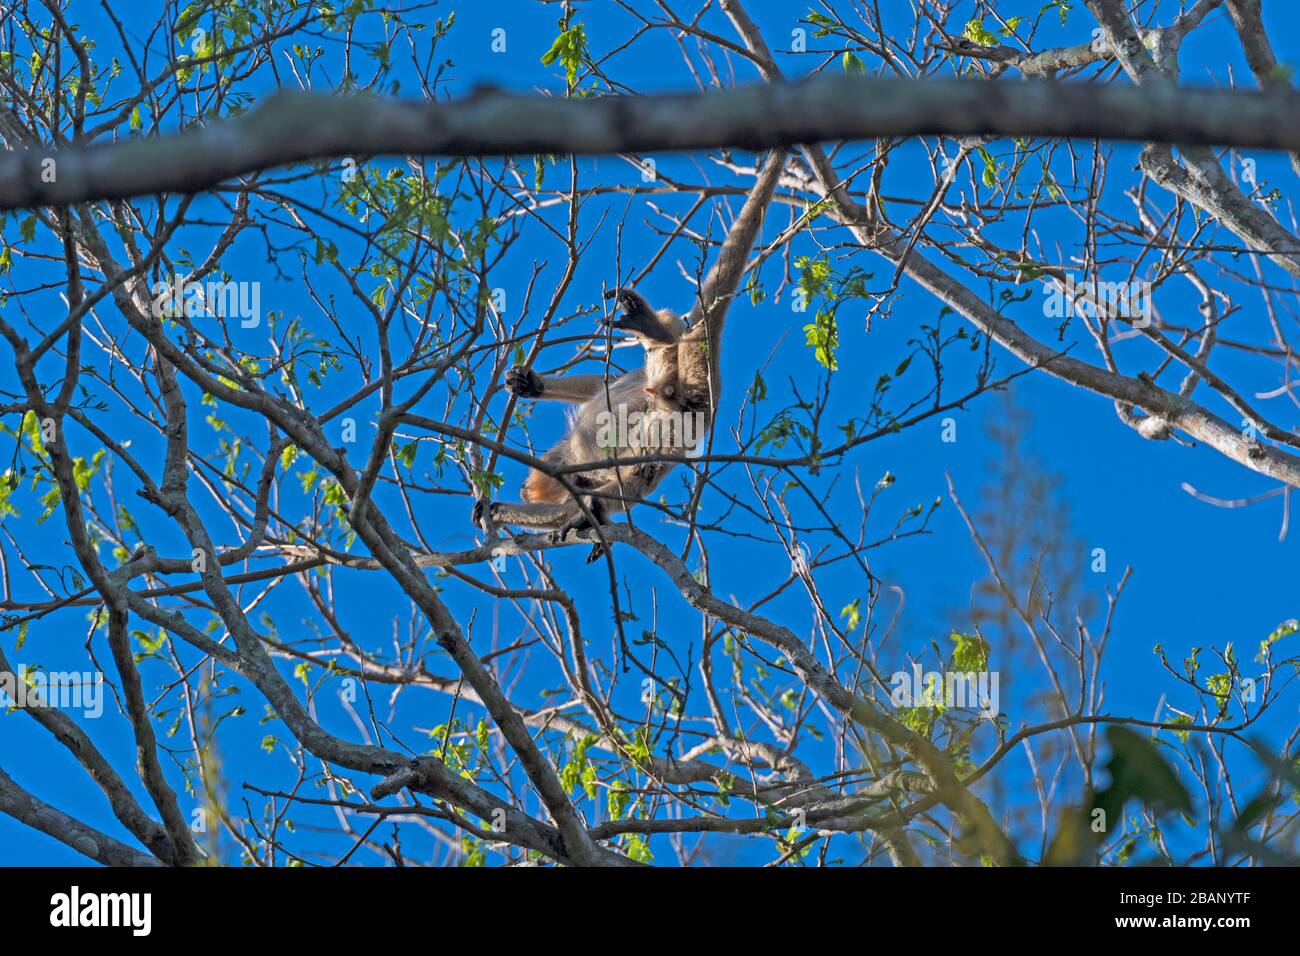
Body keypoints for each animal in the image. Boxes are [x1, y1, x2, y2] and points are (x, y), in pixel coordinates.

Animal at [473, 149, 788, 553]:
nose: (528, 490)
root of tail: (703, 398)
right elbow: (602, 387)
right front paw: (532, 385)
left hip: (679, 414)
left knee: (648, 454)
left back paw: (653, 328)